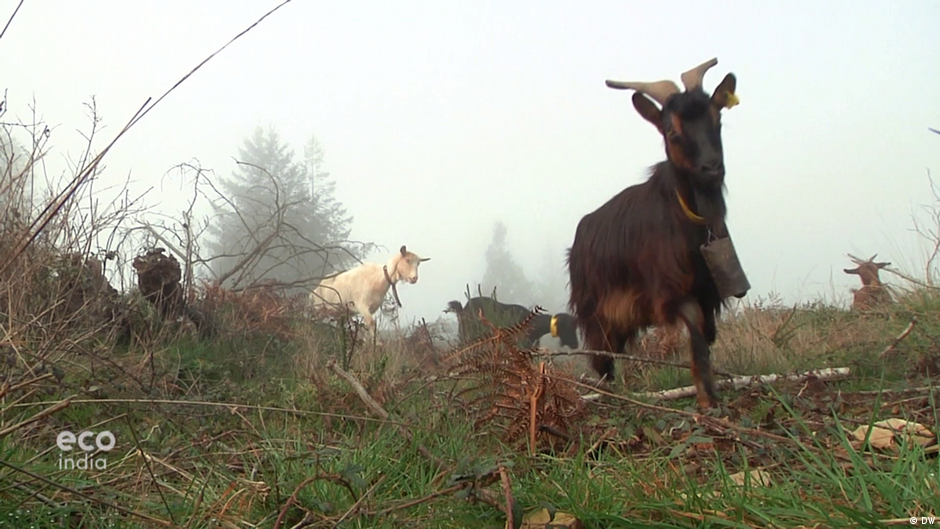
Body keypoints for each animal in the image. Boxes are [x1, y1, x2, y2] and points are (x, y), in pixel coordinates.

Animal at [566, 57, 747, 409]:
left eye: (716, 120)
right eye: (672, 131)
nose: (711, 168)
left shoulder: (709, 292)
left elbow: (707, 338)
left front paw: (712, 394)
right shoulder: (671, 292)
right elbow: (696, 337)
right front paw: (706, 402)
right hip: (594, 310)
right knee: (602, 358)